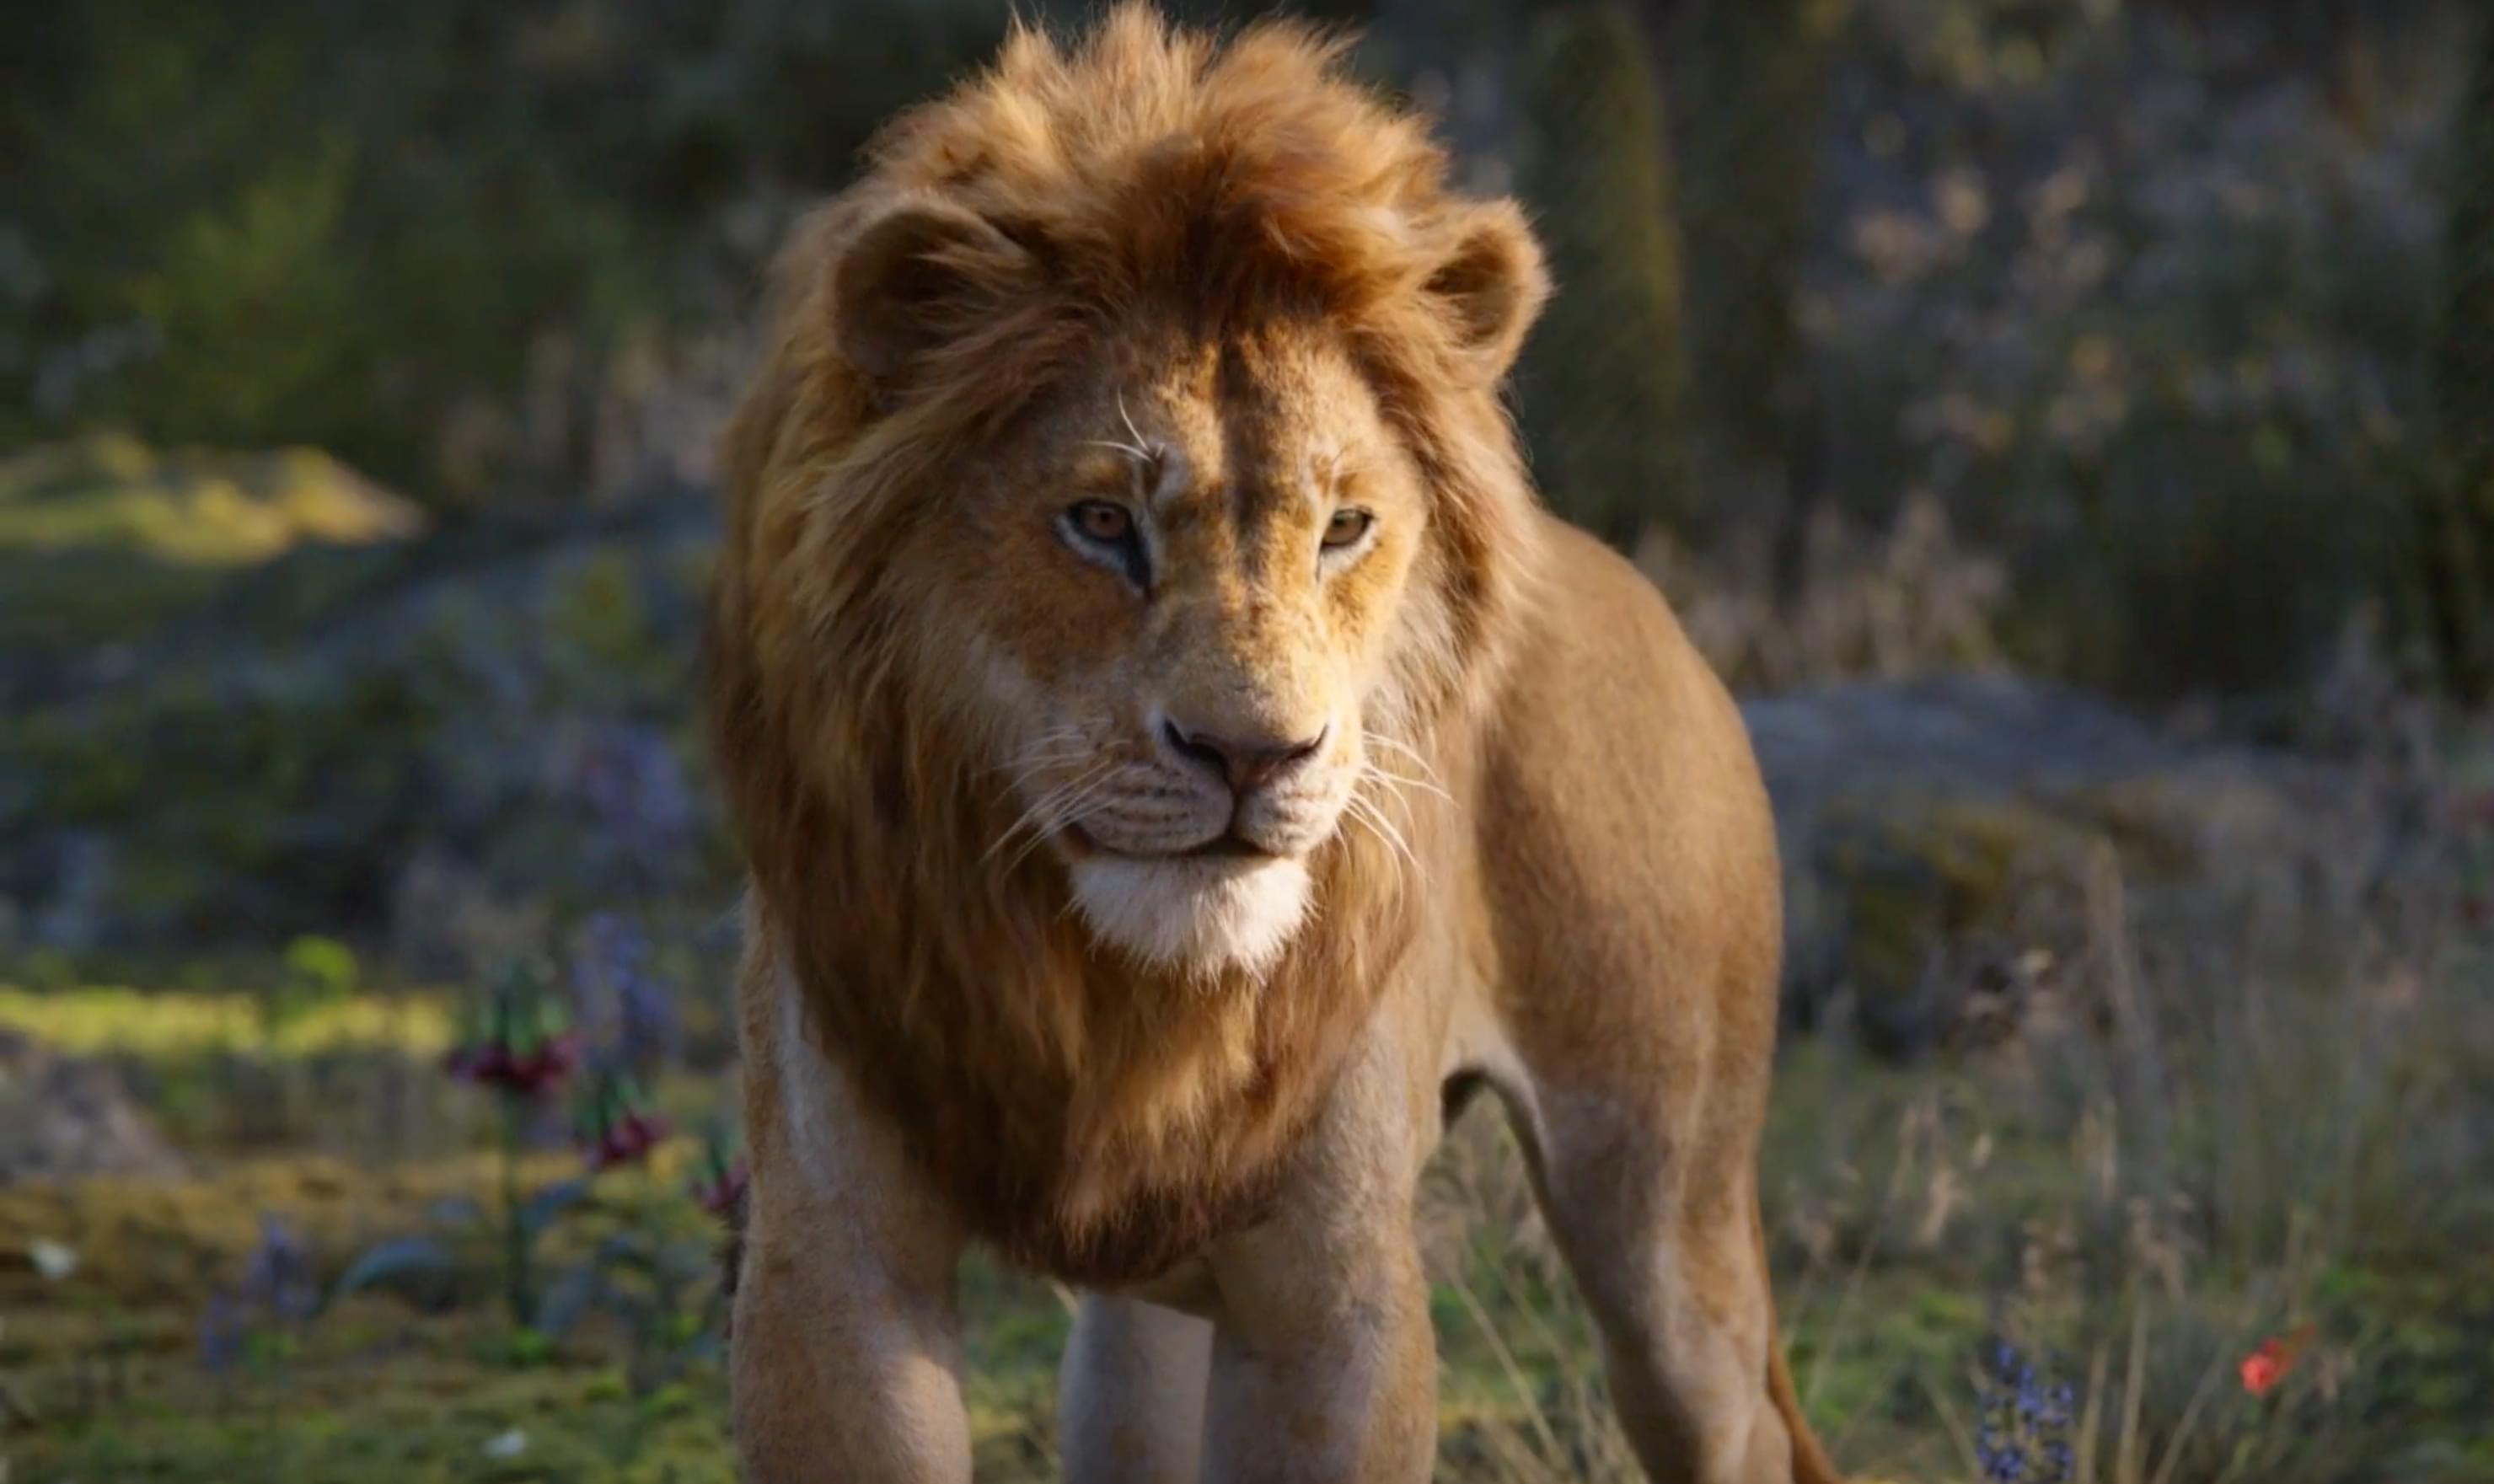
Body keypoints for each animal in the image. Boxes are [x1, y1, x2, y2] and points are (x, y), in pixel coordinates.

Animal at [701, 8, 1839, 1483]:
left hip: (1660, 1212)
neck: (1117, 995)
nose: (1255, 757)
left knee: (1719, 1395)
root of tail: (1634, 588)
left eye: (1343, 527)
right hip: (1145, 1329)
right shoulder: (833, 1266)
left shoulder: (1328, 1294)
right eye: (1099, 522)